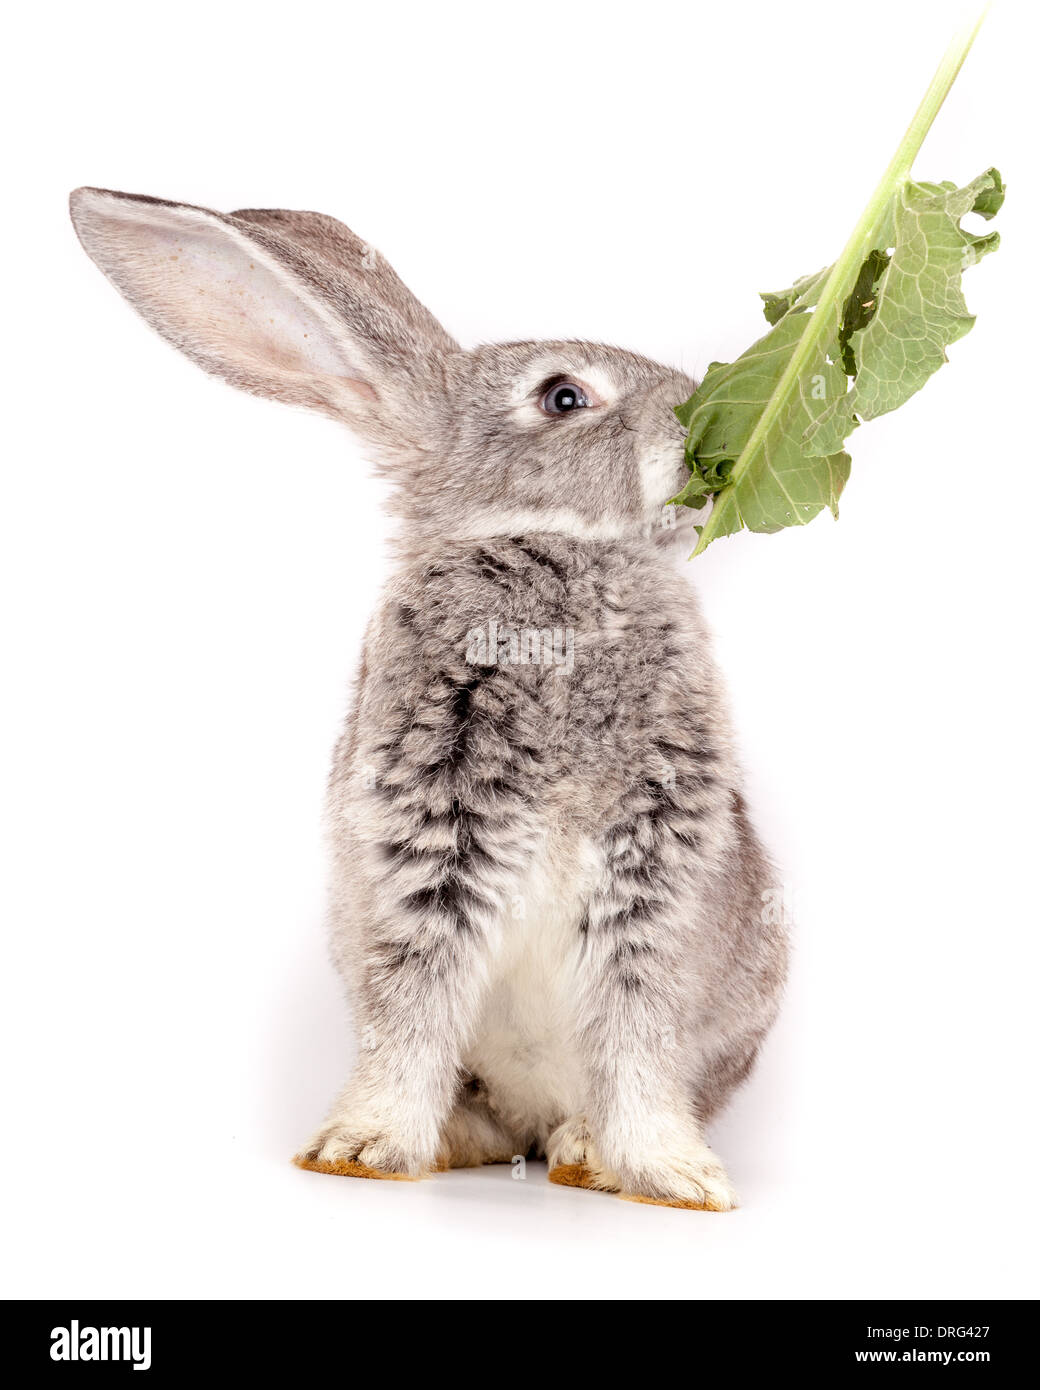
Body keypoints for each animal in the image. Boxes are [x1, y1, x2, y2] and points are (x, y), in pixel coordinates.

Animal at [69, 186, 787, 1210]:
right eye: (563, 396)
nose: (700, 430)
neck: (554, 554)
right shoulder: (431, 848)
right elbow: (415, 1011)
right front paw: (362, 1149)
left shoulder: (652, 880)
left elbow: (638, 1036)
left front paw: (675, 1177)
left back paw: (581, 1151)